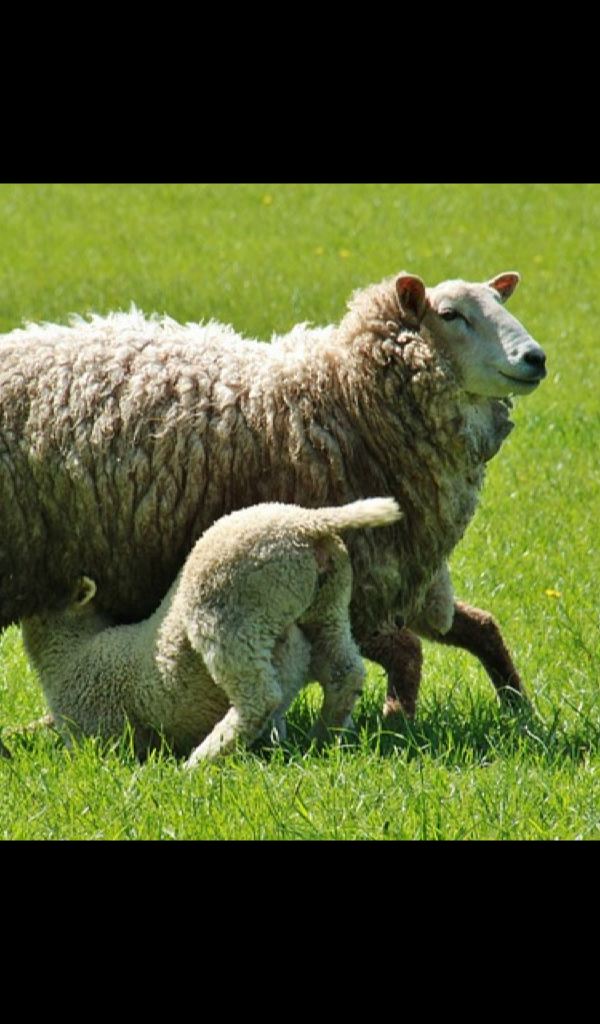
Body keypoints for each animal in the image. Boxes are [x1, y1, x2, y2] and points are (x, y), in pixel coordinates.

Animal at [0, 270, 546, 720]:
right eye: (451, 315)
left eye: (501, 301)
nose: (535, 358)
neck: (343, 398)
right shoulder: (353, 591)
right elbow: (406, 652)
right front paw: (396, 727)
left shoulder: (397, 582)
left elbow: (474, 628)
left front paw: (519, 713)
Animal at [20, 499, 401, 764]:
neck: (70, 653)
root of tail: (305, 523)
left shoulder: (95, 729)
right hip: (328, 606)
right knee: (344, 673)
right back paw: (322, 737)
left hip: (229, 615)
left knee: (259, 698)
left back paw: (202, 760)